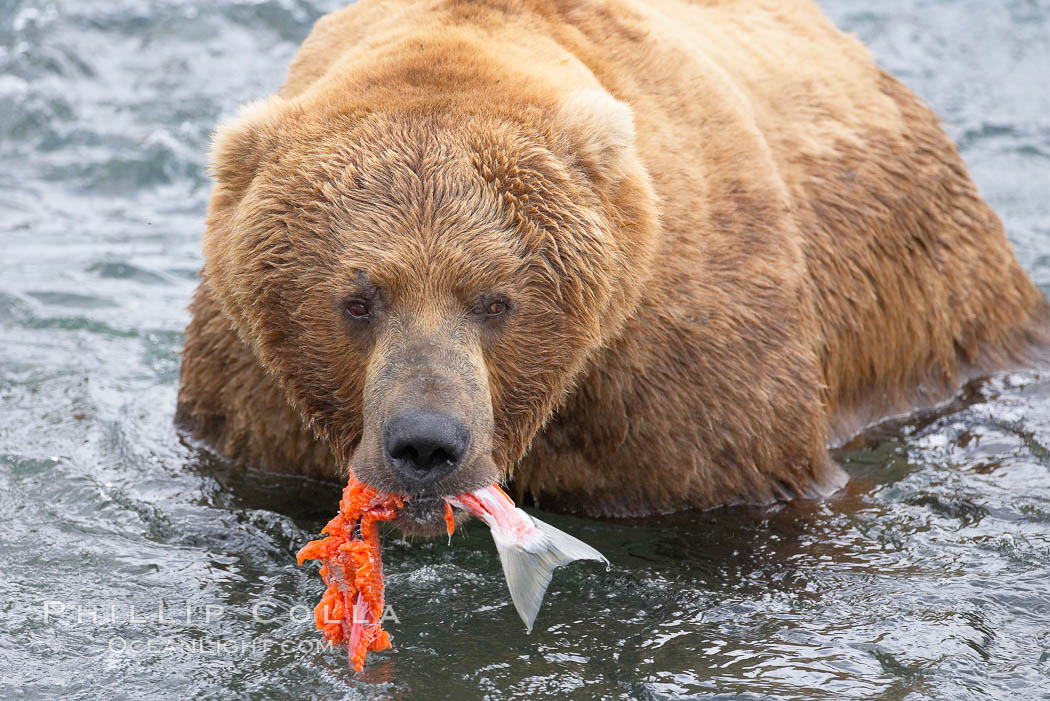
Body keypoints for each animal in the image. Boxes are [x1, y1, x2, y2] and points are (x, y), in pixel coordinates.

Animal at [176, 0, 1045, 530]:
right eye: (358, 299)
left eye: (496, 299)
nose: (425, 442)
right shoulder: (257, 402)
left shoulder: (685, 377)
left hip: (935, 296)